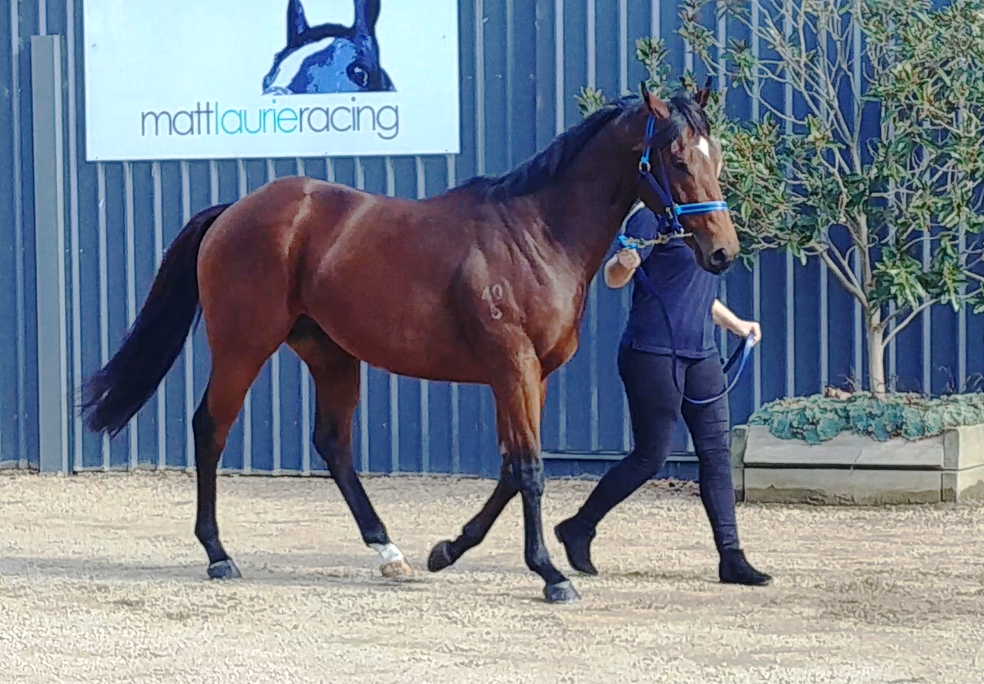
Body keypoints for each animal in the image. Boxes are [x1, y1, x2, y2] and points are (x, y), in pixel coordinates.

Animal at [80, 82, 738, 604]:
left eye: (717, 156)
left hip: (330, 353)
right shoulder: (513, 367)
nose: (723, 252)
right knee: (211, 429)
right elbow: (528, 468)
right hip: (243, 345)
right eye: (677, 158)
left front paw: (447, 549)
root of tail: (234, 210)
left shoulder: (532, 375)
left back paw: (388, 552)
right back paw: (219, 554)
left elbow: (511, 466)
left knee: (333, 444)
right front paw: (550, 574)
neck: (536, 233)